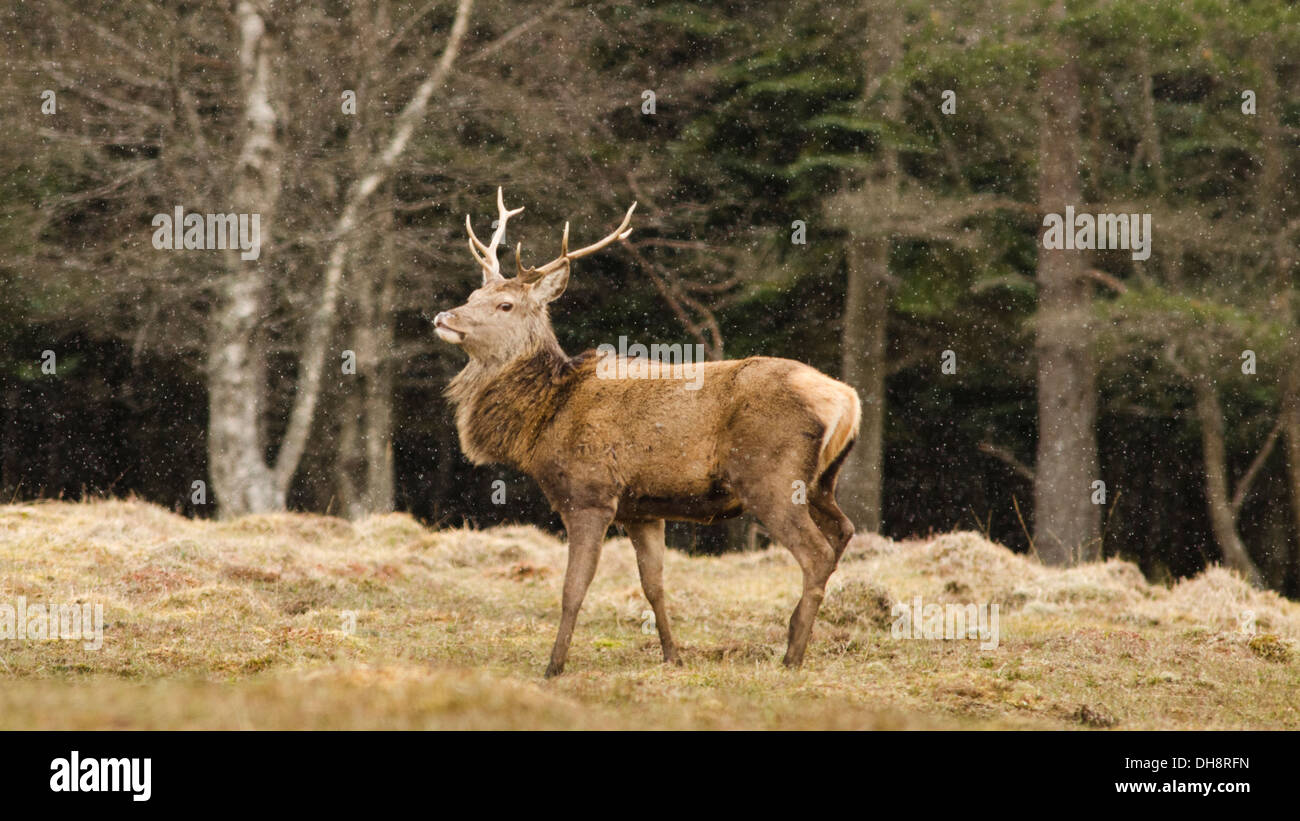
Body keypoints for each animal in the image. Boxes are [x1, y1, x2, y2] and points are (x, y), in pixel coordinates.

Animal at [436, 188, 862, 677]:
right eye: (473, 293)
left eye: (505, 305)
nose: (444, 316)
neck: (544, 417)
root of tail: (848, 400)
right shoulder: (642, 509)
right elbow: (654, 584)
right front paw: (673, 655)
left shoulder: (589, 494)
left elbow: (573, 589)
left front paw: (554, 666)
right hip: (821, 482)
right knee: (844, 531)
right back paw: (793, 634)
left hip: (771, 476)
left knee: (816, 552)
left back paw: (792, 656)